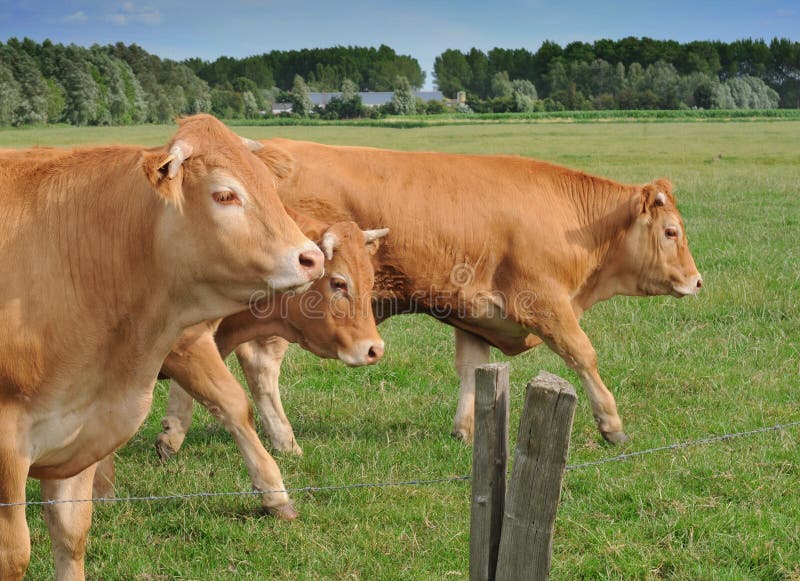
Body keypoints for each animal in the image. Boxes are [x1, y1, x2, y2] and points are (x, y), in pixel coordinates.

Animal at [0, 115, 325, 580]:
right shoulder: (9, 446)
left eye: (268, 184)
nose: (312, 259)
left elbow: (71, 533)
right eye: (224, 194)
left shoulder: (79, 431)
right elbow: (14, 554)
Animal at [93, 219, 389, 520]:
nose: (375, 349)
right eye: (339, 282)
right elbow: (234, 405)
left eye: (370, 280)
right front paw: (274, 493)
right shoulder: (182, 343)